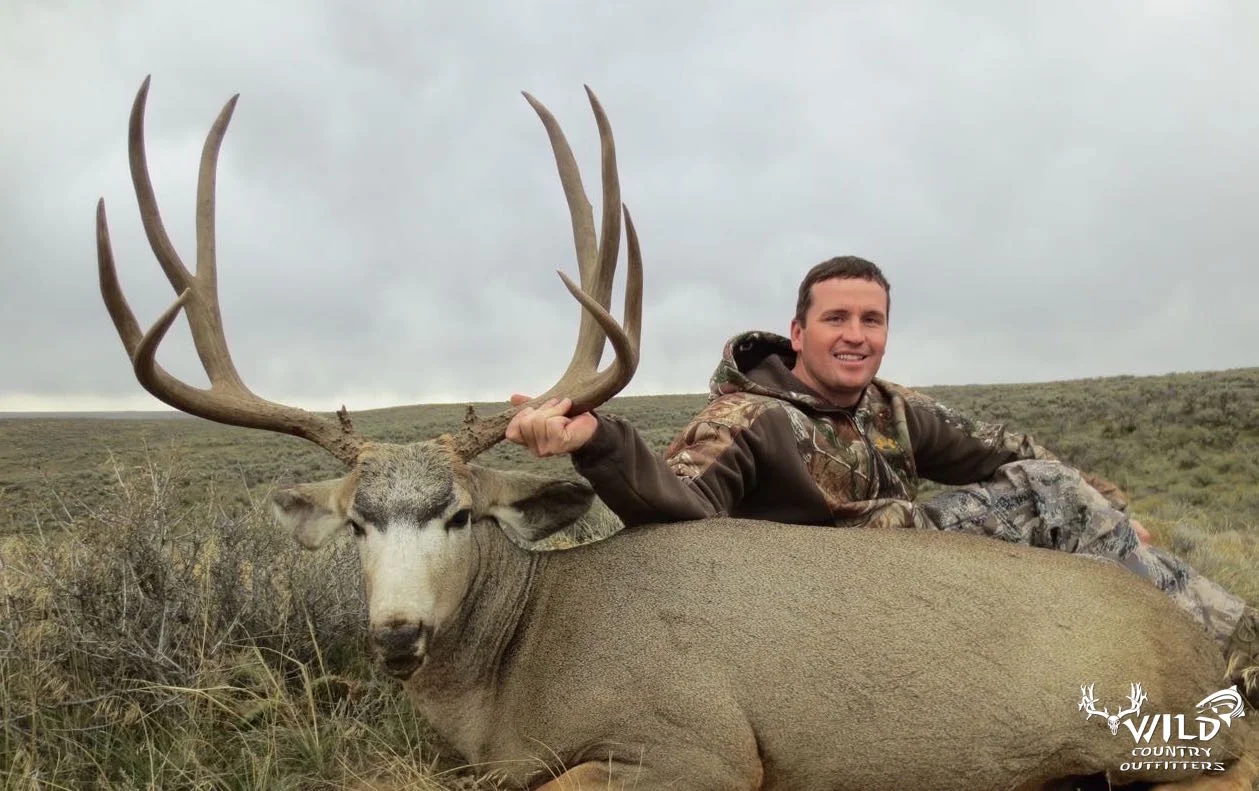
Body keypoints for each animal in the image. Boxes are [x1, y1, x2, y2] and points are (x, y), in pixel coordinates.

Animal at [96, 77, 1256, 791]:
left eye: (461, 512)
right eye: (352, 524)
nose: (395, 631)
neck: (526, 658)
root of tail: (1198, 648)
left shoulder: (700, 741)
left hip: (1164, 746)